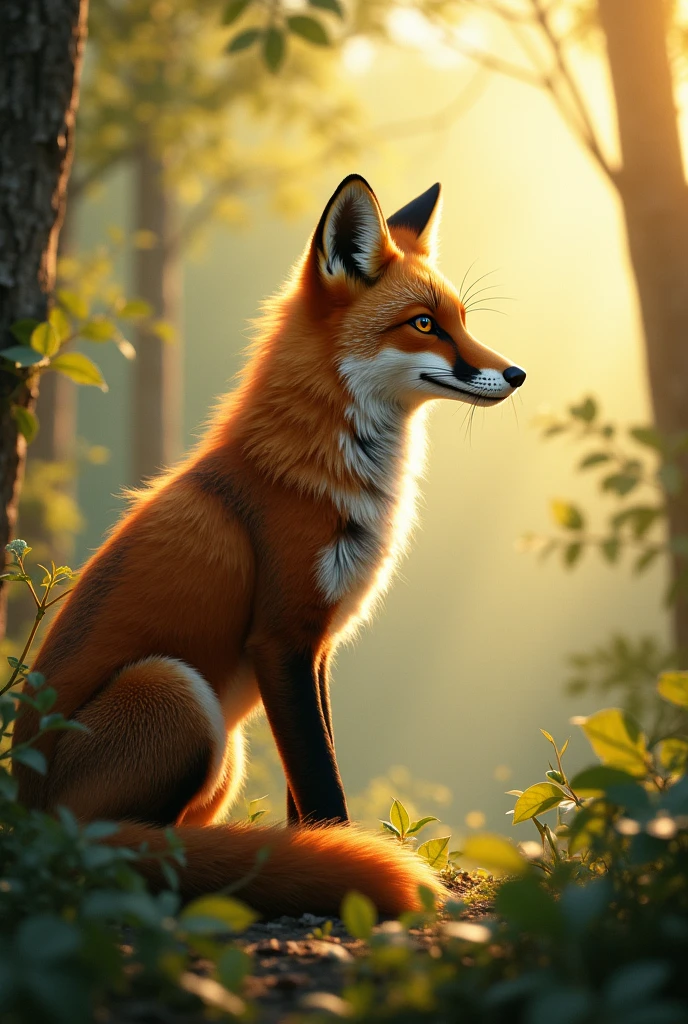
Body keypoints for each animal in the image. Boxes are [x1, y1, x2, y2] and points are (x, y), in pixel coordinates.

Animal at [13, 174, 525, 917]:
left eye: (463, 319)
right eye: (425, 324)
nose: (516, 373)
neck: (327, 476)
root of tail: (28, 822)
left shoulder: (317, 645)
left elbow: (306, 790)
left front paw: (319, 856)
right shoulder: (281, 636)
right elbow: (320, 780)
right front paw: (343, 862)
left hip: (225, 757)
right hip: (175, 691)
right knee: (128, 850)